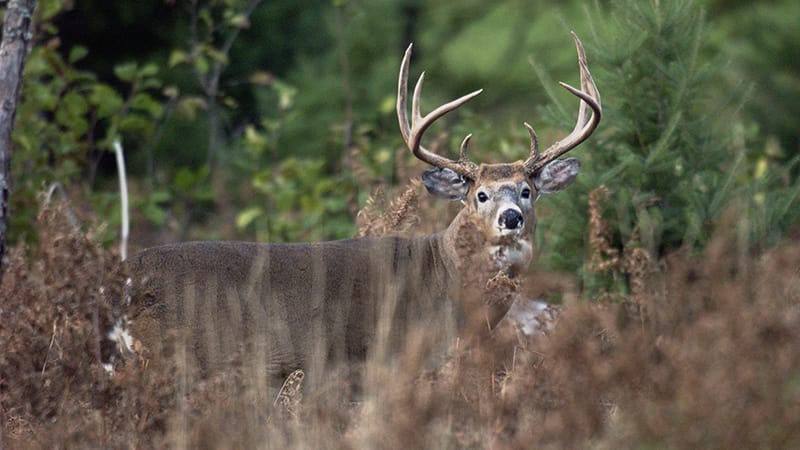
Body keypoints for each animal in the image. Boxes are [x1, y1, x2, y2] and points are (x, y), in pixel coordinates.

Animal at [122, 32, 601, 382]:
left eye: (527, 190)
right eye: (479, 194)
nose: (511, 217)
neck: (445, 280)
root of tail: (119, 280)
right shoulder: (383, 359)